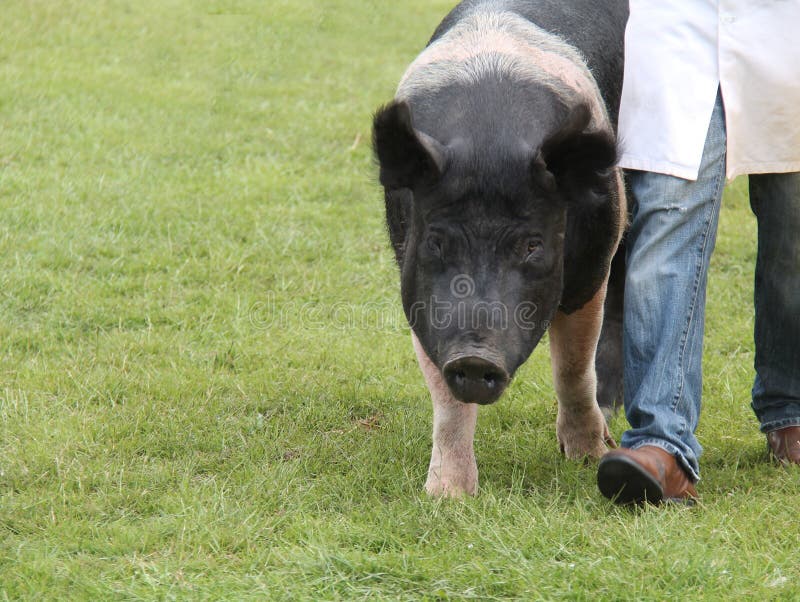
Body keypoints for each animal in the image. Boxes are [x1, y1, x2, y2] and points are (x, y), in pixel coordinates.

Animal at [373, 0, 628, 496]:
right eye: (436, 240)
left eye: (531, 244)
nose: (475, 357)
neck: (488, 140)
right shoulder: (416, 287)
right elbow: (444, 396)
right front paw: (447, 496)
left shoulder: (590, 263)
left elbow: (572, 365)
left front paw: (589, 459)